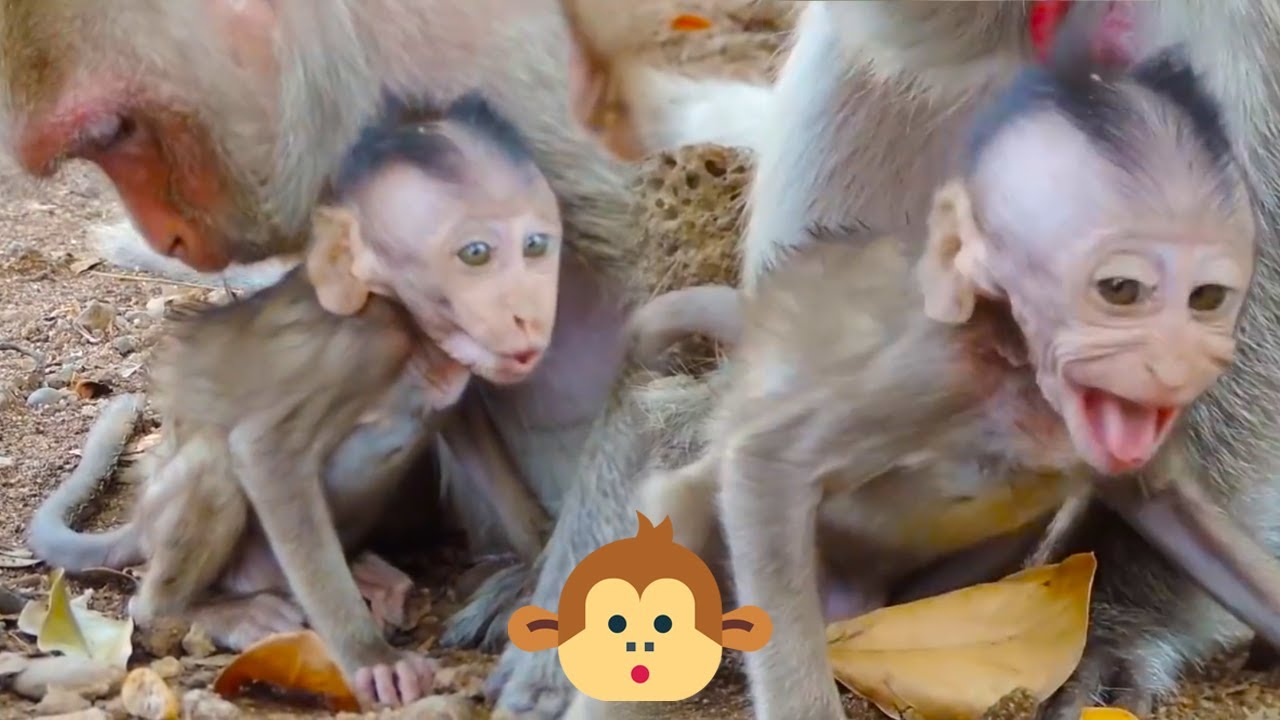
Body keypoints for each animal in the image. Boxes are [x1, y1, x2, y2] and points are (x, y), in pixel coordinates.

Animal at [27, 93, 565, 709]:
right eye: (475, 254)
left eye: (537, 246)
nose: (528, 312)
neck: (411, 332)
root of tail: (139, 524)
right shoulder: (355, 350)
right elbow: (266, 454)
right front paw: (372, 658)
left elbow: (472, 434)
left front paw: (546, 556)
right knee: (207, 483)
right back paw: (204, 609)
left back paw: (371, 577)